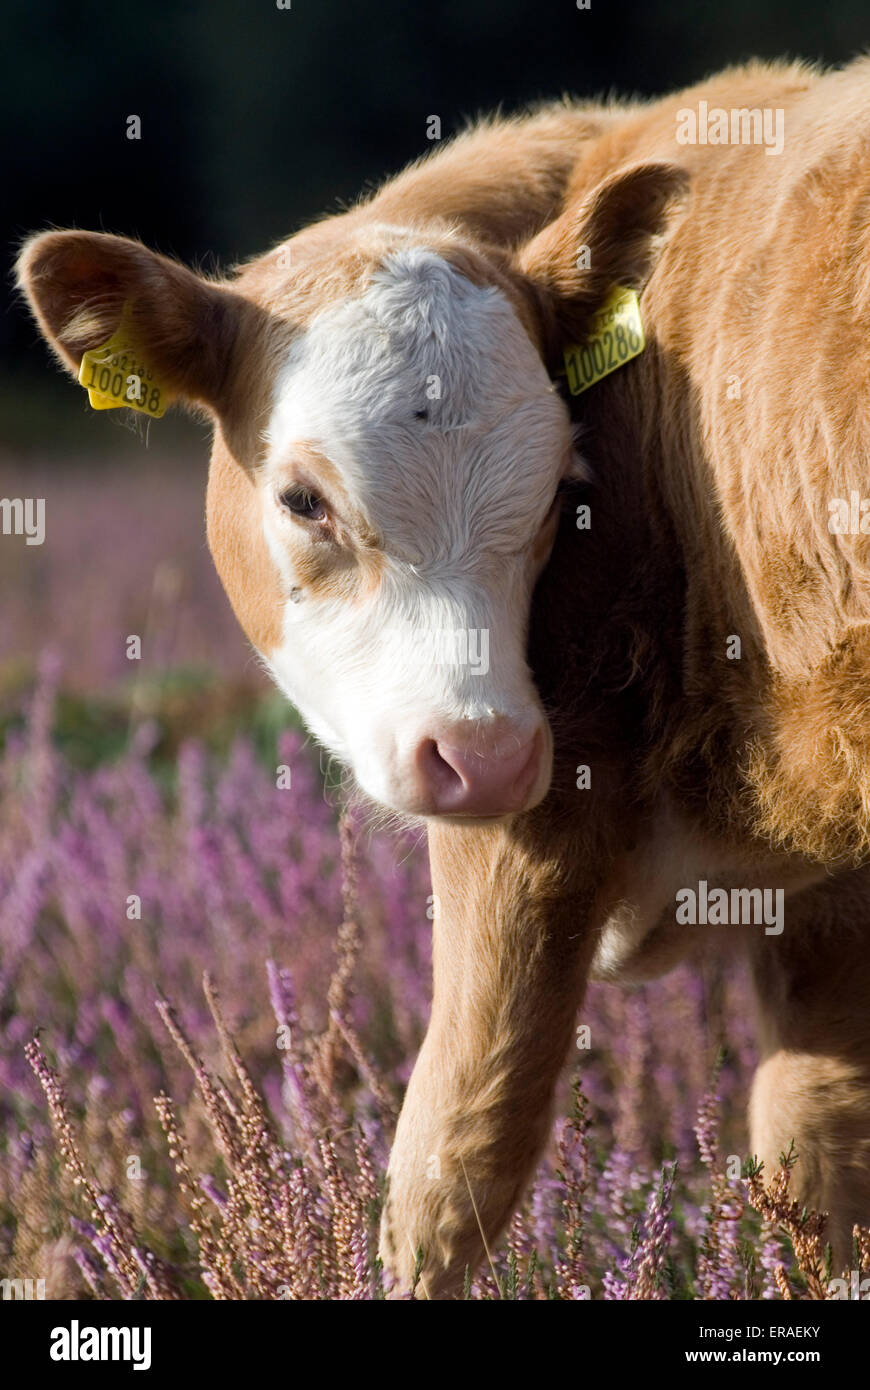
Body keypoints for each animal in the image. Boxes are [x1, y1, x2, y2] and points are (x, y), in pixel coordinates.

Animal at [17, 57, 870, 1299]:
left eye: (565, 487)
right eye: (304, 499)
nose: (487, 753)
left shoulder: (527, 844)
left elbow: (447, 1173)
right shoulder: (825, 911)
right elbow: (822, 1167)